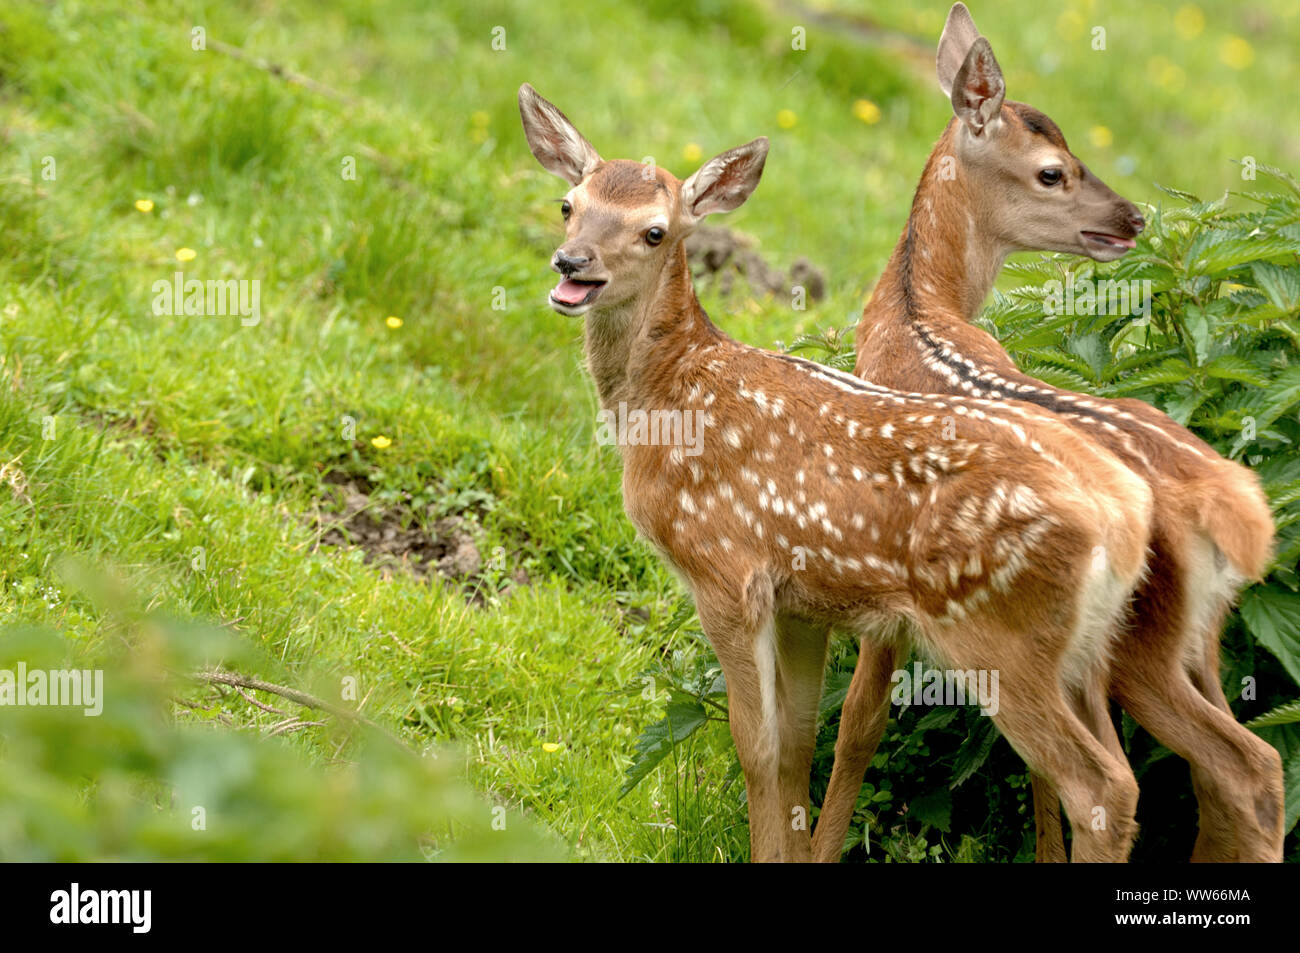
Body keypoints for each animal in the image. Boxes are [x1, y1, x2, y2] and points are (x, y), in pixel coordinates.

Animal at [518, 81, 1157, 862]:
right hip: (1082, 653)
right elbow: (799, 743)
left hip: (1000, 635)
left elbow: (757, 746)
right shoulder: (800, 598)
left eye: (655, 232)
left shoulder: (725, 568)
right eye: (568, 203)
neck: (670, 395)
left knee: (1102, 787)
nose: (572, 264)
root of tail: (1128, 516)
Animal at [810, 2, 1283, 863]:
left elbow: (859, 724)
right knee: (1216, 772)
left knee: (1231, 766)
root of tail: (1238, 508)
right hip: (1196, 636)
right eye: (1052, 171)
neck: (916, 311)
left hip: (1138, 647)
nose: (1133, 217)